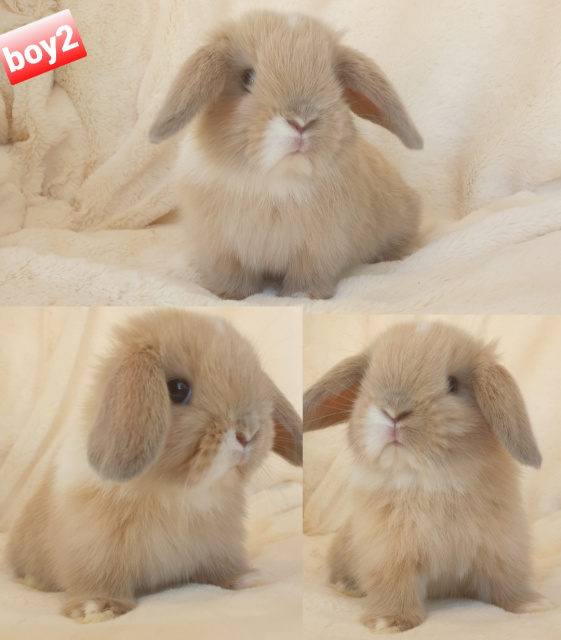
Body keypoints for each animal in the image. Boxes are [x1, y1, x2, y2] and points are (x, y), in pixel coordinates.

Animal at [7, 309, 302, 623]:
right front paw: (97, 609)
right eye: (177, 389)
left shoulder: (221, 543)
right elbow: (98, 578)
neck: (178, 492)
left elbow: (222, 567)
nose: (248, 433)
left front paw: (249, 578)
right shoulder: (94, 548)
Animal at [149, 10, 423, 300]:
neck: (276, 181)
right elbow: (232, 273)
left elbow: (308, 274)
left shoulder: (319, 247)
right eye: (248, 78)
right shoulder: (221, 247)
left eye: (335, 82)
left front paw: (300, 296)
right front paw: (232, 295)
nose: (302, 120)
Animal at [303, 321, 552, 633]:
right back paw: (344, 586)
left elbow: (506, 581)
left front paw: (531, 605)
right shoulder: (388, 554)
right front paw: (390, 622)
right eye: (367, 378)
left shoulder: (501, 547)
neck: (430, 478)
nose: (394, 411)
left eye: (452, 384)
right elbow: (393, 587)